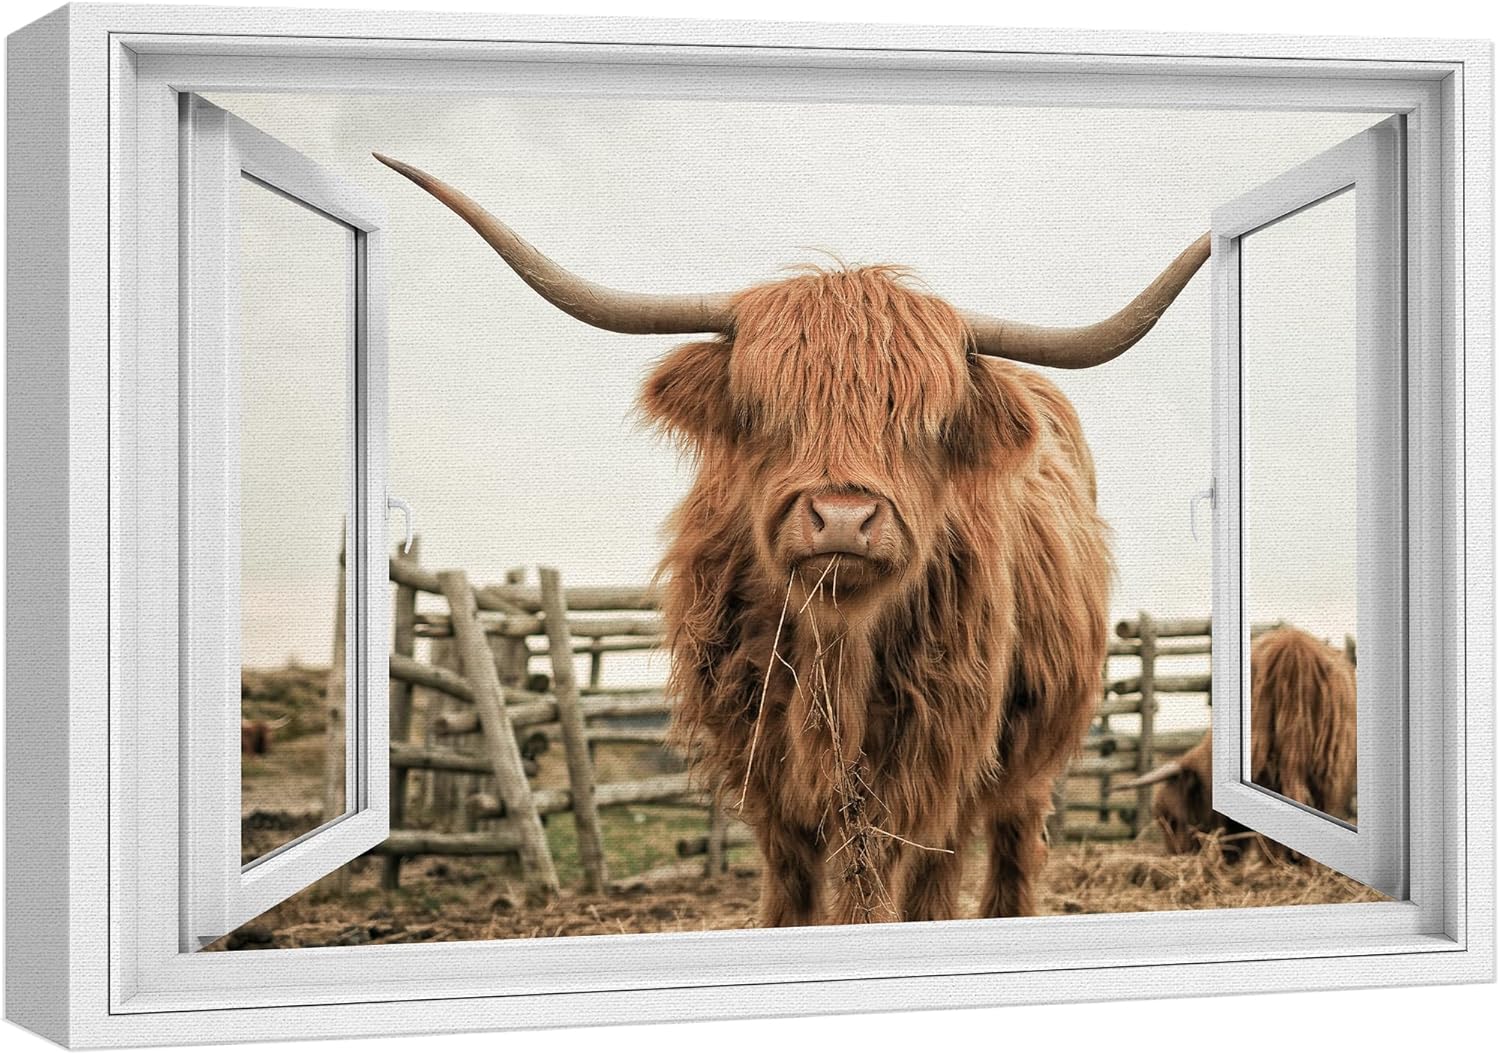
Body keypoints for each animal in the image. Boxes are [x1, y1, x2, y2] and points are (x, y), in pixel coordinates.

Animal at [376, 153, 1209, 924]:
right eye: (766, 410)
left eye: (925, 423)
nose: (842, 517)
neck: (831, 651)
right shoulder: (764, 771)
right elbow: (792, 888)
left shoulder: (925, 765)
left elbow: (884, 886)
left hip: (1019, 761)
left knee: (992, 854)